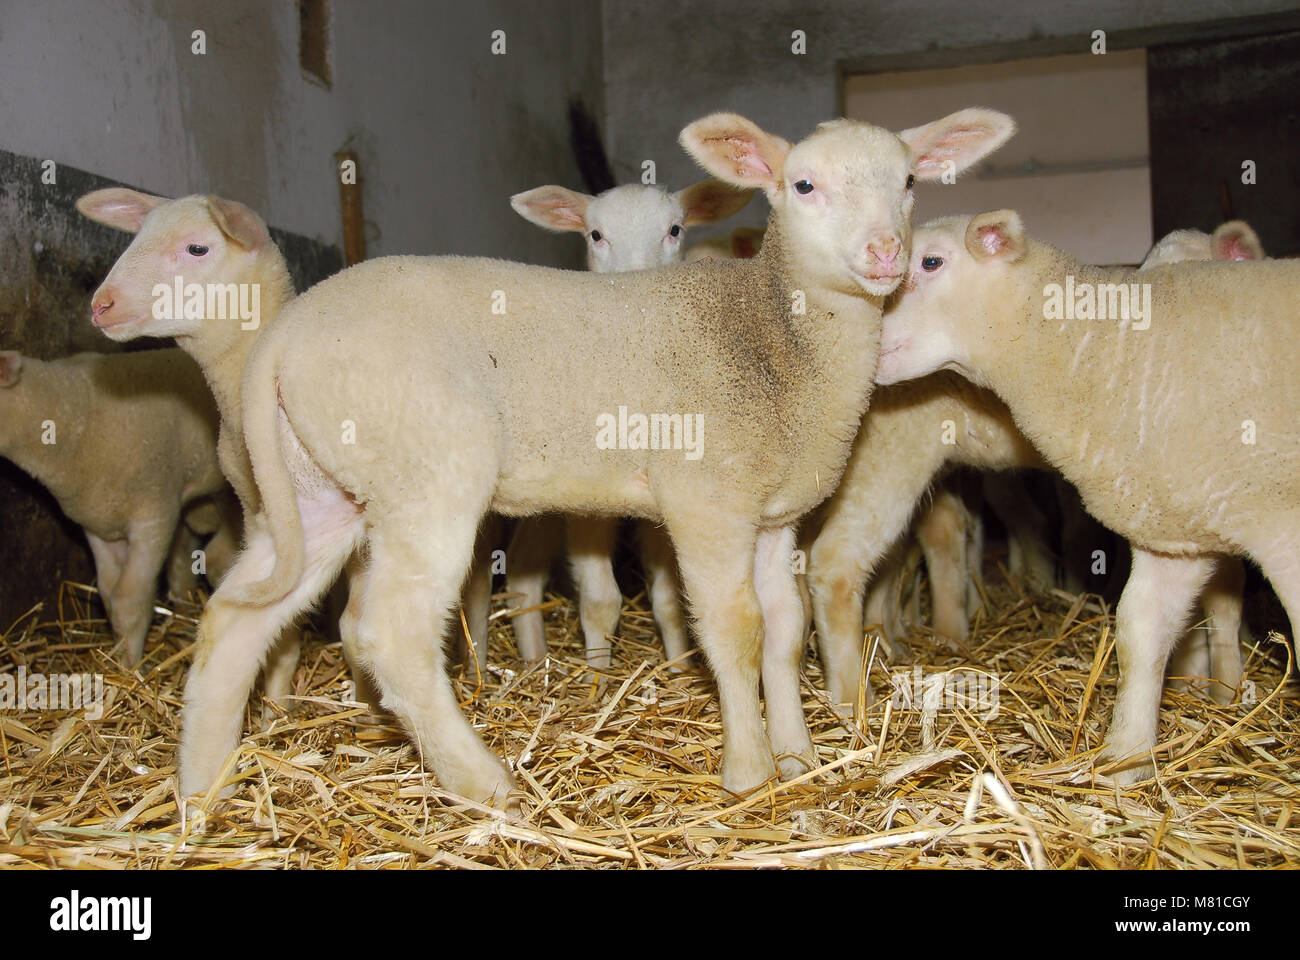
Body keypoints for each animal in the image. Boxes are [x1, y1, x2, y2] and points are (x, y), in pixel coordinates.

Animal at [0, 347, 232, 664]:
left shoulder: (154, 515)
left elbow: (128, 601)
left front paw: (130, 666)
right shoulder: (99, 524)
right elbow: (109, 595)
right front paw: (120, 658)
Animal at [505, 178, 752, 667]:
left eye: (675, 230)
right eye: (596, 235)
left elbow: (668, 600)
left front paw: (679, 669)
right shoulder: (583, 505)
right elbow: (600, 602)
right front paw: (597, 677)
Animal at [876, 210, 1300, 782]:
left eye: (931, 261)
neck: (1120, 359)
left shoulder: (1277, 524)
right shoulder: (1178, 523)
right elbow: (1141, 630)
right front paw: (1126, 760)